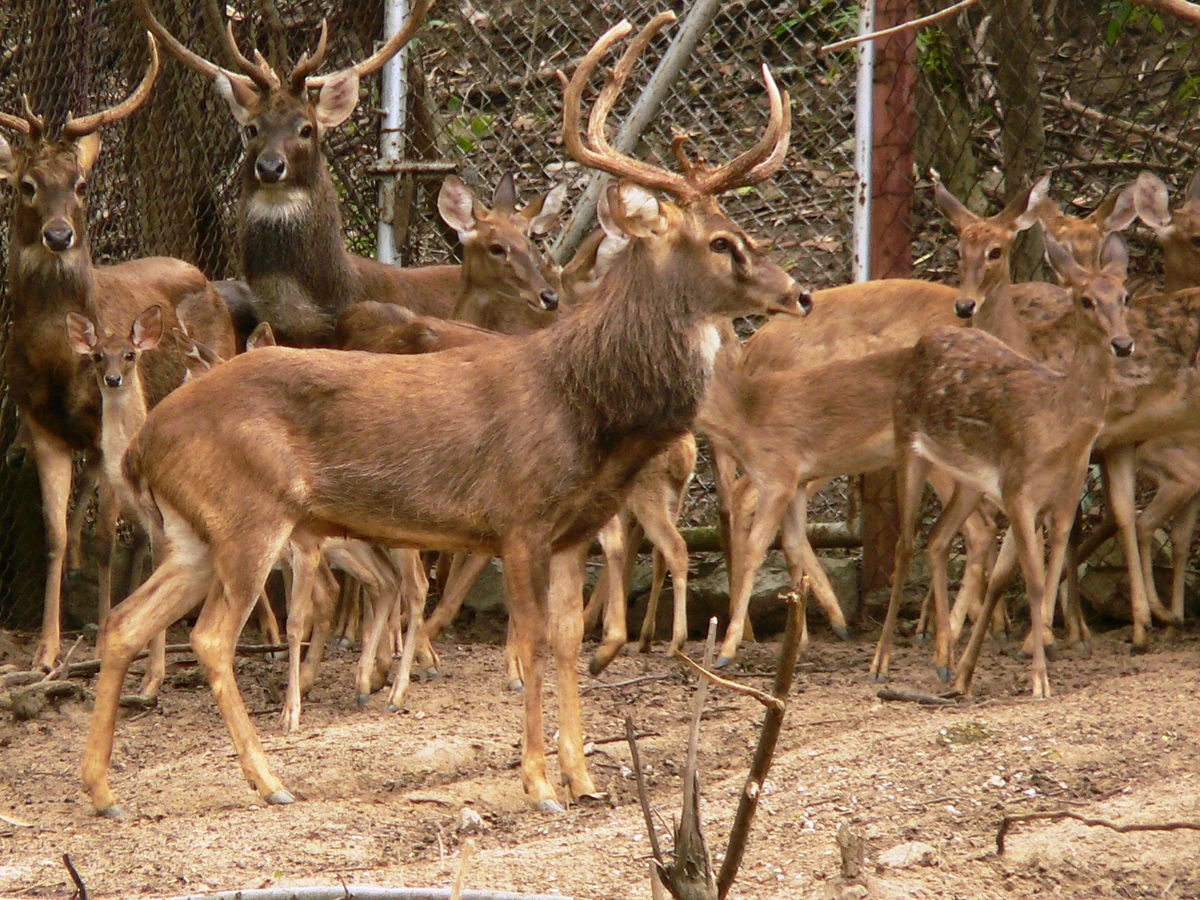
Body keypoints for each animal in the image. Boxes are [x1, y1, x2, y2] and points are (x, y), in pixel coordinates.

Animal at [0, 35, 236, 671]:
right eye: (25, 185)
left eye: (80, 186)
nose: (59, 235)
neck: (58, 363)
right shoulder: (41, 425)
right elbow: (58, 534)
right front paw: (47, 651)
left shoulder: (104, 428)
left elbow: (106, 537)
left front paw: (108, 629)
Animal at [80, 14, 805, 817]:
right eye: (721, 243)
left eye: (748, 231)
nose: (798, 293)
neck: (582, 402)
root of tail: (145, 441)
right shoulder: (517, 518)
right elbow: (527, 643)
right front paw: (539, 783)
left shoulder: (569, 532)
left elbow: (564, 641)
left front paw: (582, 777)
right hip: (246, 514)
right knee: (208, 637)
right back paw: (269, 780)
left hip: (192, 532)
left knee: (123, 622)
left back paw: (103, 788)